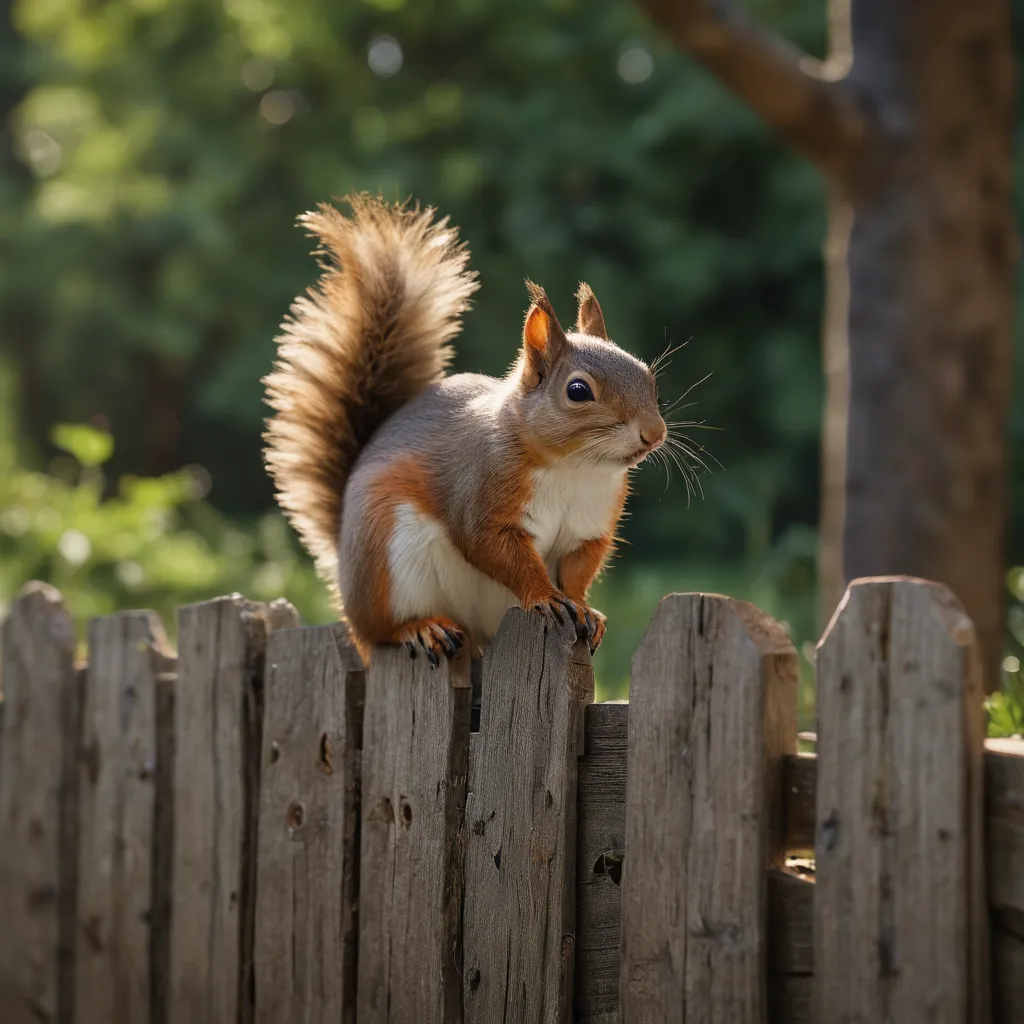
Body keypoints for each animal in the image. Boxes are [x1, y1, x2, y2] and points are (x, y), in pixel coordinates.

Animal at [263, 194, 667, 665]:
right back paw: (421, 628)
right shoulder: (478, 494)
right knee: (379, 632)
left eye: (647, 376)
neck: (574, 468)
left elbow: (580, 568)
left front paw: (584, 607)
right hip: (386, 563)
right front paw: (545, 596)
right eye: (578, 390)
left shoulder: (590, 524)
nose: (654, 433)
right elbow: (495, 550)